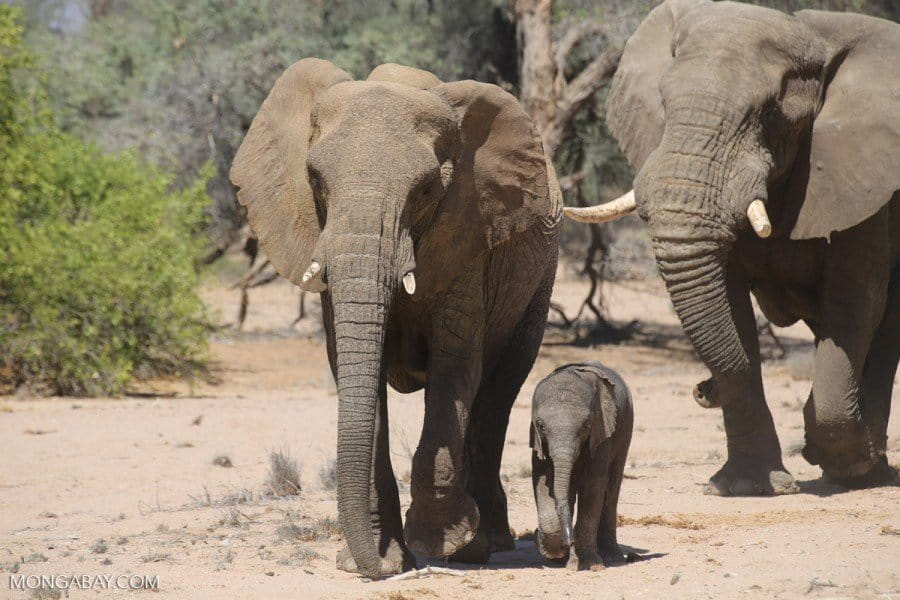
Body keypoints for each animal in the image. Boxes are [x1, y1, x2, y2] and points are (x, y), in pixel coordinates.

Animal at [230, 59, 561, 577]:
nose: (374, 570)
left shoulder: (469, 230)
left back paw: (486, 544)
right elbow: (352, 369)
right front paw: (379, 560)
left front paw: (440, 542)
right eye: (314, 180)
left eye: (426, 190)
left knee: (497, 391)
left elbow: (454, 367)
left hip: (538, 283)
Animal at [530, 362, 633, 571]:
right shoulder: (537, 440)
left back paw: (612, 558)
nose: (569, 540)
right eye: (541, 426)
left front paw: (589, 564)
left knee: (612, 489)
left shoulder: (601, 433)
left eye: (586, 426)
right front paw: (555, 550)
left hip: (626, 428)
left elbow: (593, 486)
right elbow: (542, 479)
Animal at [566, 0, 899, 495]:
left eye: (771, 115)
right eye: (663, 104)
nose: (701, 388)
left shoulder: (864, 181)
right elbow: (730, 303)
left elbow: (855, 300)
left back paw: (867, 468)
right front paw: (749, 486)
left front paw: (846, 463)